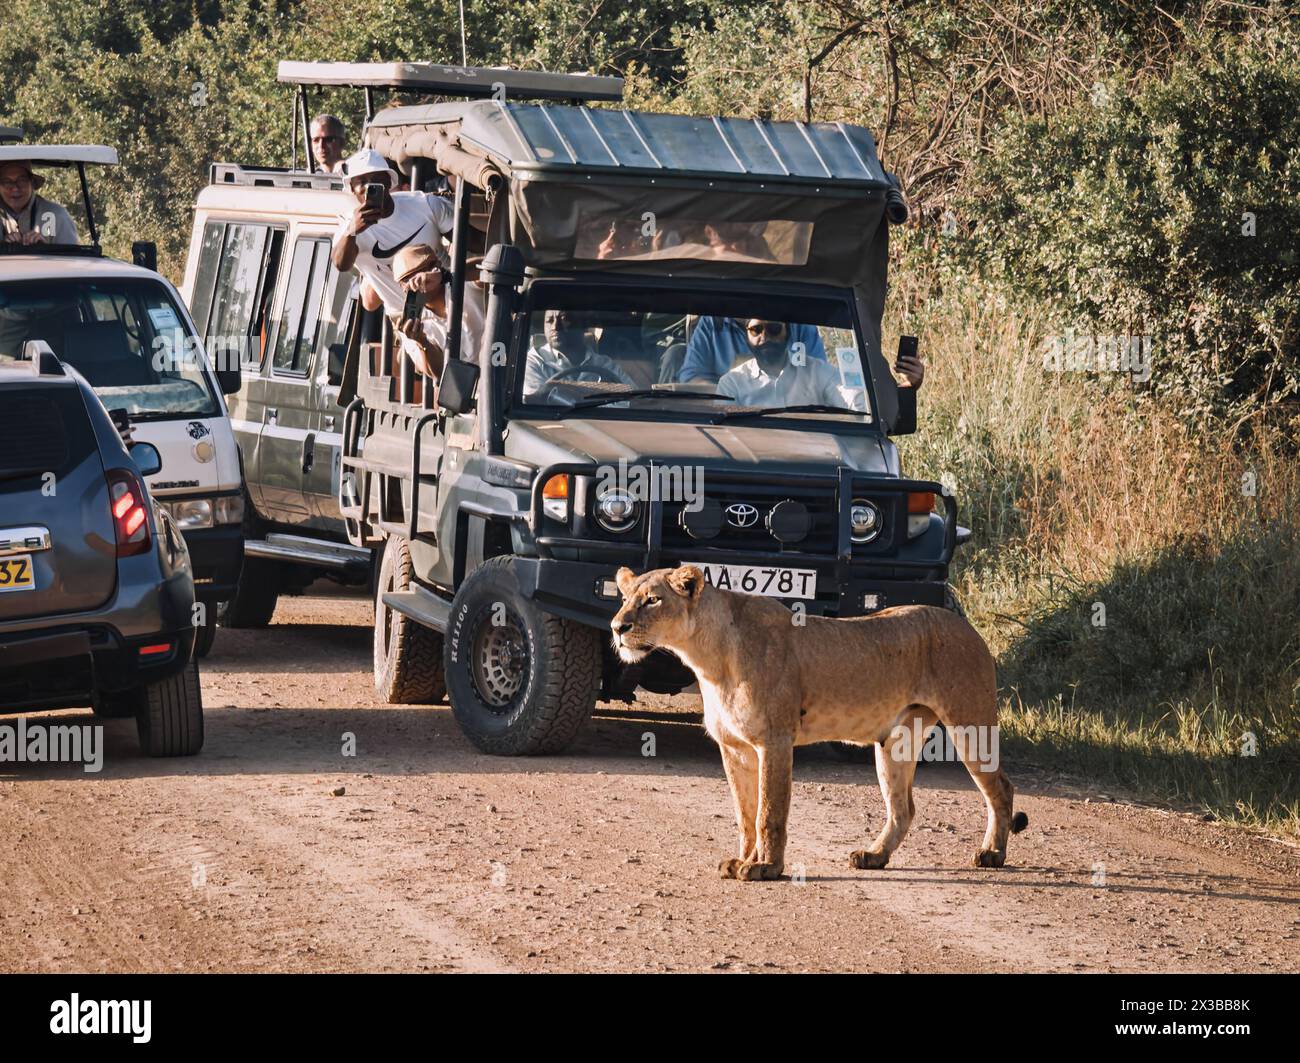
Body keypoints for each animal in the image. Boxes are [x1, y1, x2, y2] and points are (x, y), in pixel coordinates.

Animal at [611, 565, 1028, 880]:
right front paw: (743, 860)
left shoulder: (774, 740)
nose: (617, 627)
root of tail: (967, 626)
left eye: (652, 599)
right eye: (624, 598)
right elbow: (745, 814)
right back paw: (874, 856)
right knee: (904, 808)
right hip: (896, 741)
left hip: (969, 722)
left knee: (1001, 788)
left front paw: (765, 868)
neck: (706, 657)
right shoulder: (734, 747)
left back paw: (991, 853)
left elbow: (768, 812)